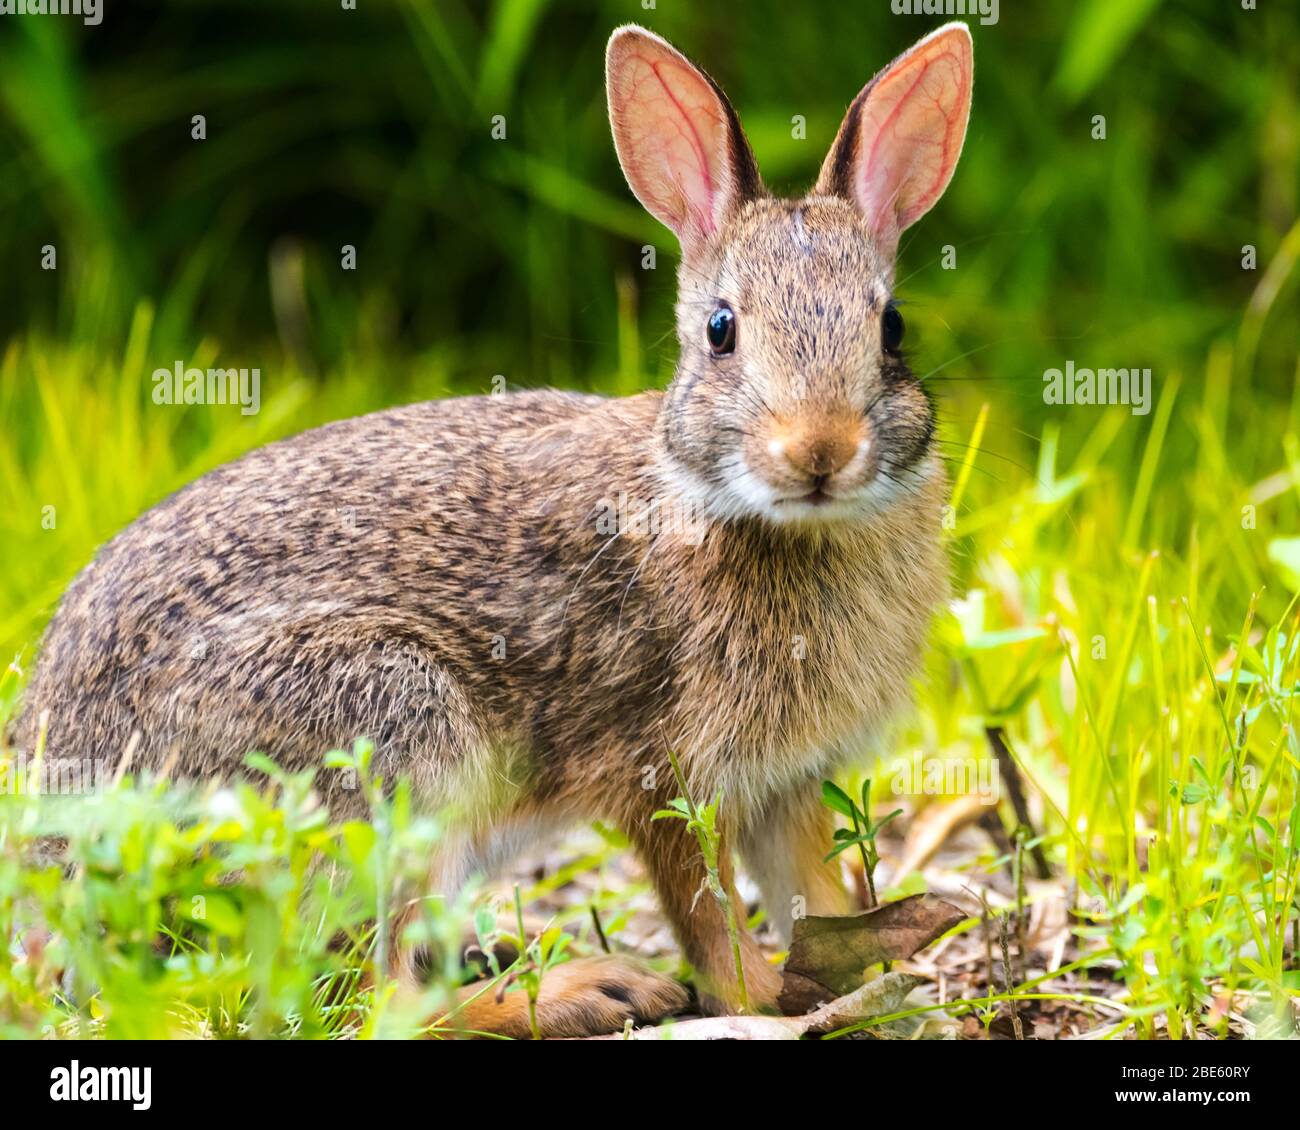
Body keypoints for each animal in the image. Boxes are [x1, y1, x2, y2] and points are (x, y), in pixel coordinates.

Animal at [14, 21, 973, 1037]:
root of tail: (53, 866)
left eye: (892, 329)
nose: (819, 449)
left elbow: (812, 890)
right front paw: (757, 995)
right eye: (722, 330)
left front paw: (867, 975)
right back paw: (586, 990)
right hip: (388, 736)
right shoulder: (662, 770)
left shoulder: (781, 787)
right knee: (369, 999)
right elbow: (705, 909)